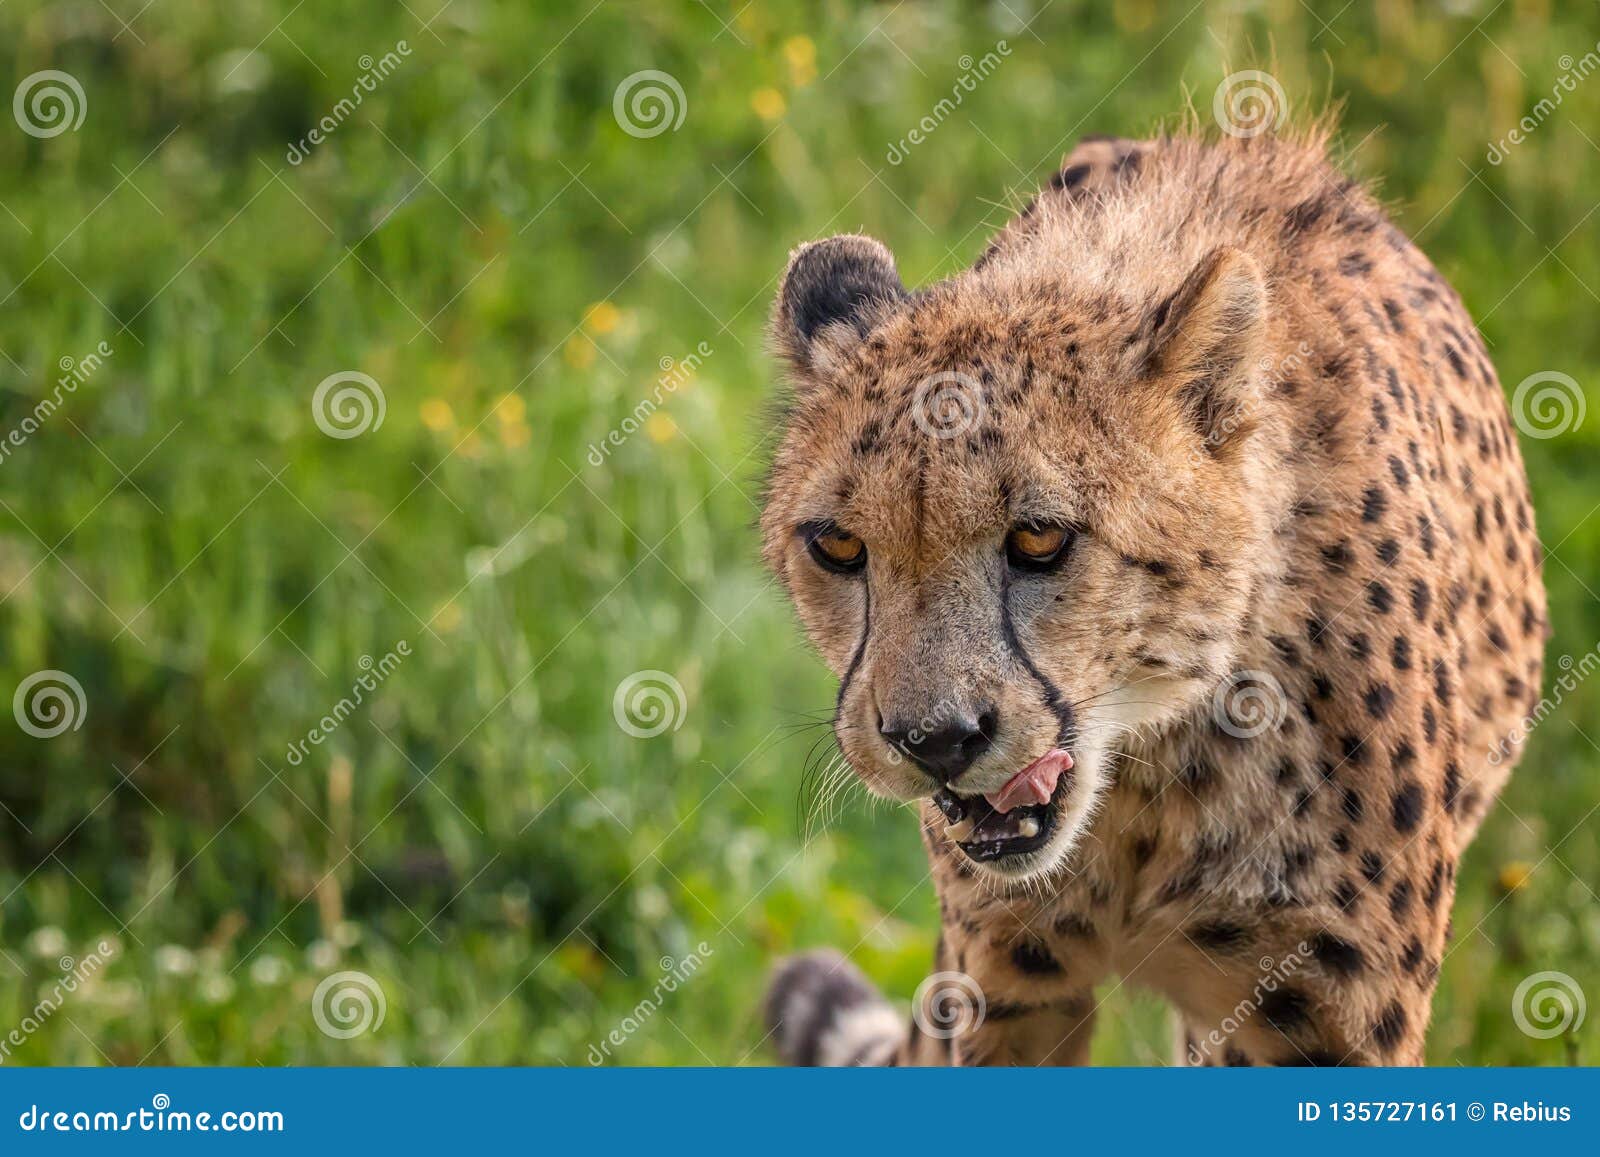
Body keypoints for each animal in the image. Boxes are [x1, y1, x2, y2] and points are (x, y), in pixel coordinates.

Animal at [757, 123, 1547, 1067]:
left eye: (1040, 538)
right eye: (839, 546)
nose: (934, 739)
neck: (1145, 770)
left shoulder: (1324, 1017)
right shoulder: (1002, 982)